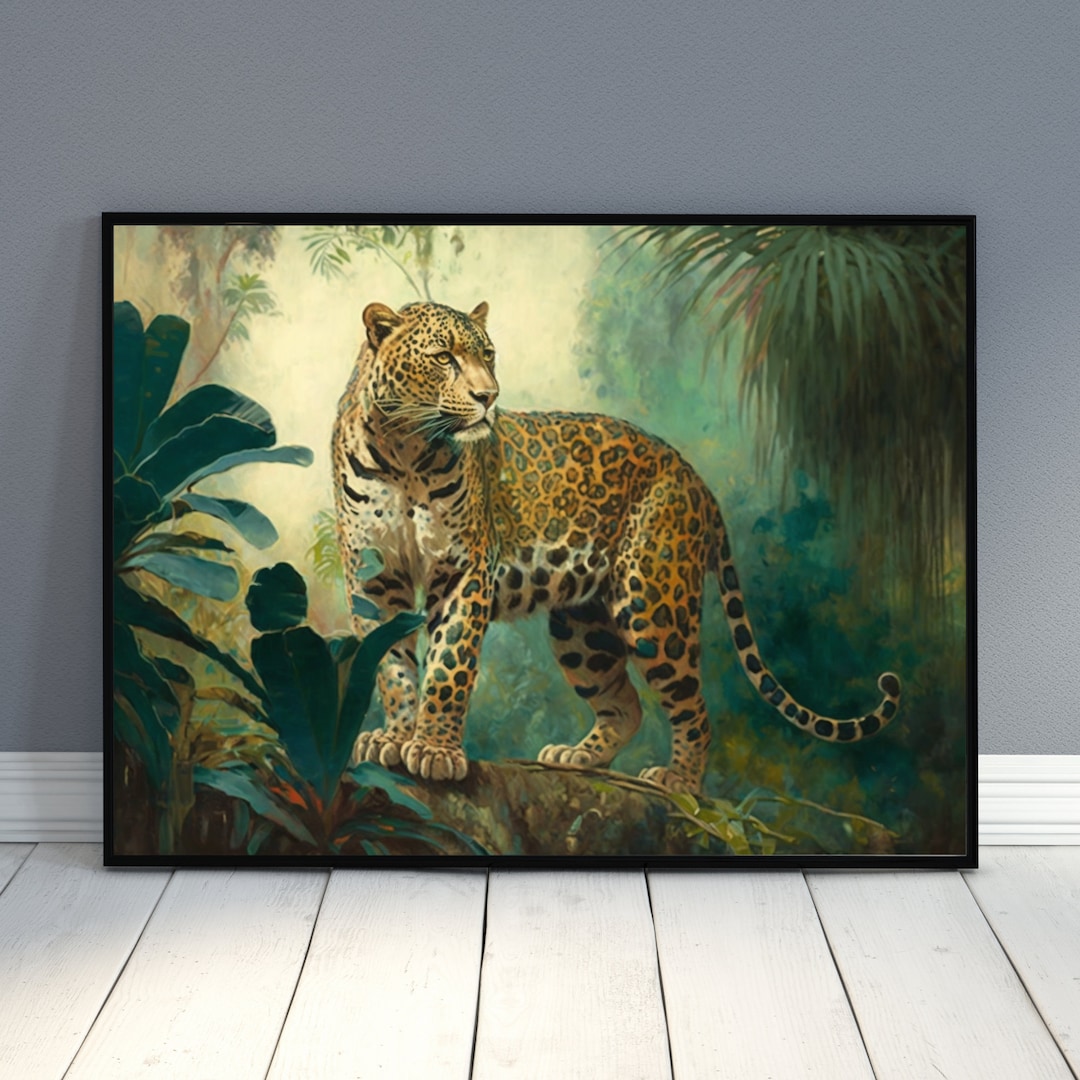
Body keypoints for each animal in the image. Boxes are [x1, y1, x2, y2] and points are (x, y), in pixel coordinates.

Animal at [332, 299, 901, 793]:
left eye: (487, 356)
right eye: (443, 357)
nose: (487, 397)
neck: (405, 450)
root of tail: (695, 479)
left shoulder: (464, 570)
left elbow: (450, 665)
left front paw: (435, 750)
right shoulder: (375, 578)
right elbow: (390, 665)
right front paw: (395, 738)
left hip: (652, 605)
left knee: (694, 710)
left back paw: (679, 781)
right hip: (583, 625)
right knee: (625, 705)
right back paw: (576, 757)